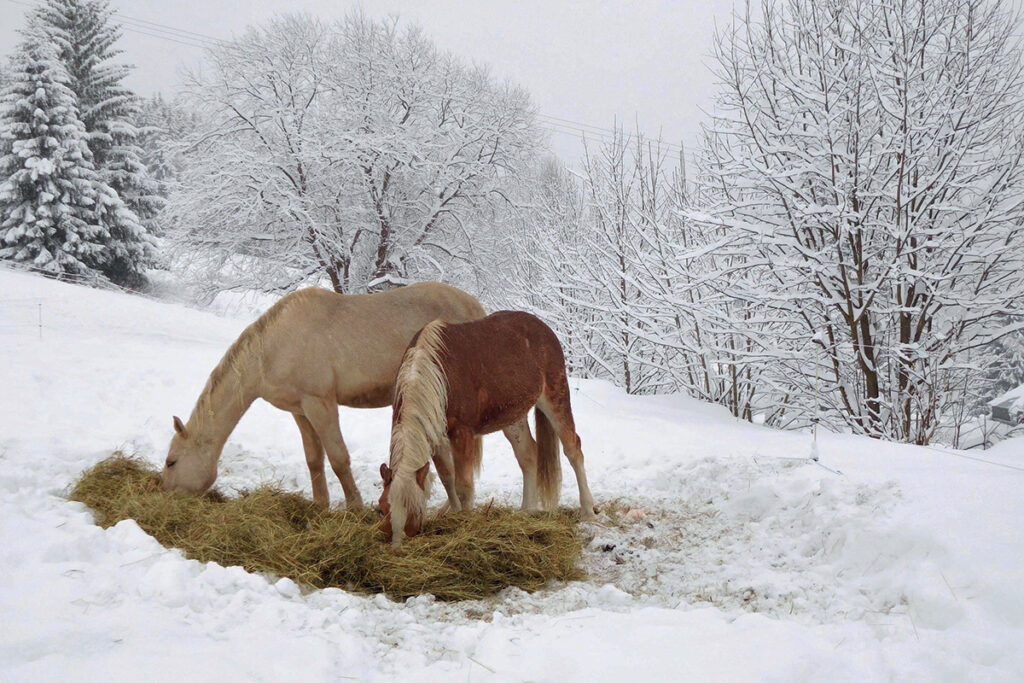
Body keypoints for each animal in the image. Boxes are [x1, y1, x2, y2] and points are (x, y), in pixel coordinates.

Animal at [161, 283, 486, 508]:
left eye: (171, 461)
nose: (165, 494)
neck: (274, 347)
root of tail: (474, 306)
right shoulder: (300, 410)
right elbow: (314, 459)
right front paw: (320, 505)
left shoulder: (321, 404)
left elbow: (339, 457)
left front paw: (354, 506)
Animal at [378, 310, 597, 546]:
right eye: (381, 508)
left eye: (414, 510)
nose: (396, 545)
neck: (437, 372)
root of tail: (544, 328)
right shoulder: (435, 436)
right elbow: (448, 479)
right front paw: (455, 513)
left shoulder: (462, 433)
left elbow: (463, 486)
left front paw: (464, 523)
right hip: (513, 418)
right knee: (529, 456)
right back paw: (526, 511)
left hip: (555, 398)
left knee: (573, 449)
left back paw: (588, 511)